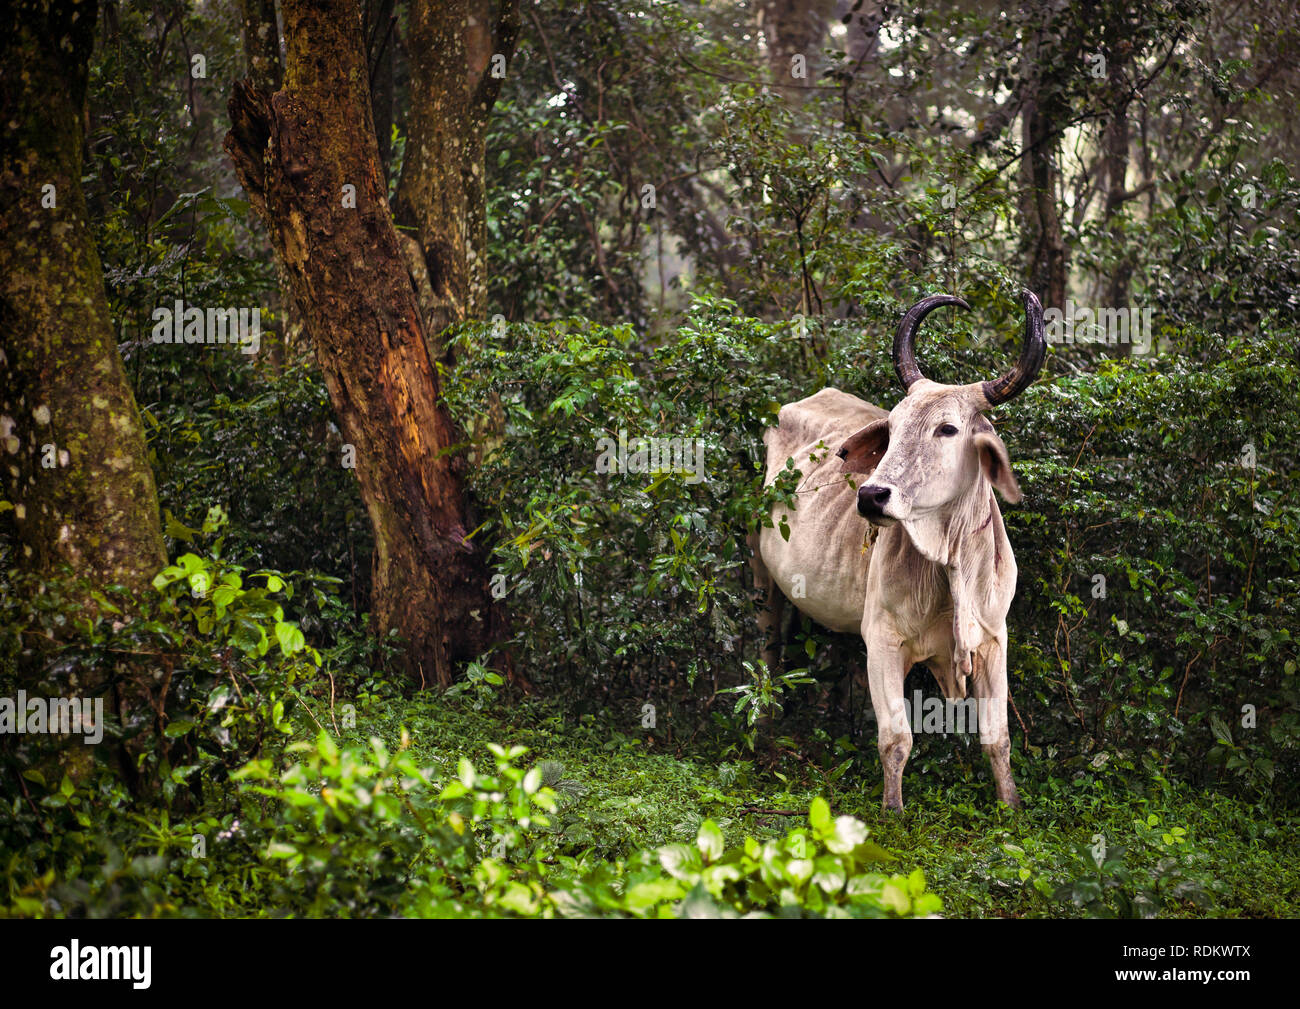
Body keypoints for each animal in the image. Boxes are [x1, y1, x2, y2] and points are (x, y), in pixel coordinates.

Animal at [750, 291, 1046, 811]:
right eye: (893, 425)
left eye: (948, 429)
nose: (871, 496)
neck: (950, 567)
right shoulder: (884, 642)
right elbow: (896, 739)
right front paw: (892, 812)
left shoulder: (994, 640)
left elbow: (998, 739)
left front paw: (1010, 807)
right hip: (762, 579)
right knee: (767, 654)